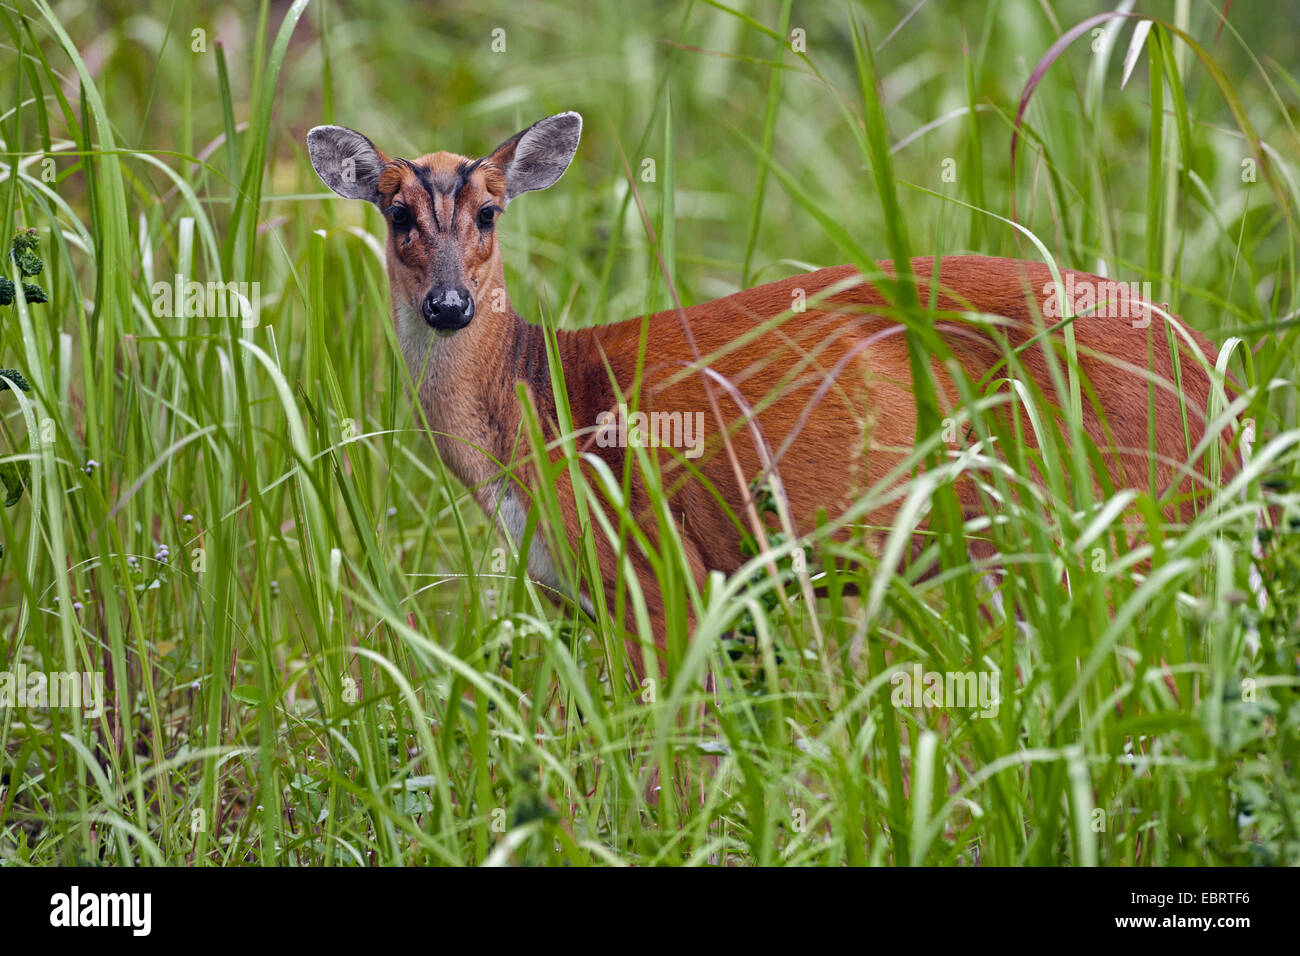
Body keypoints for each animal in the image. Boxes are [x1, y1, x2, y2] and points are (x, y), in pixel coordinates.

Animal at [307, 111, 1252, 681]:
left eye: (491, 213)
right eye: (396, 213)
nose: (449, 305)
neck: (534, 413)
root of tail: (1223, 373)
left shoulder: (659, 568)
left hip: (1127, 510)